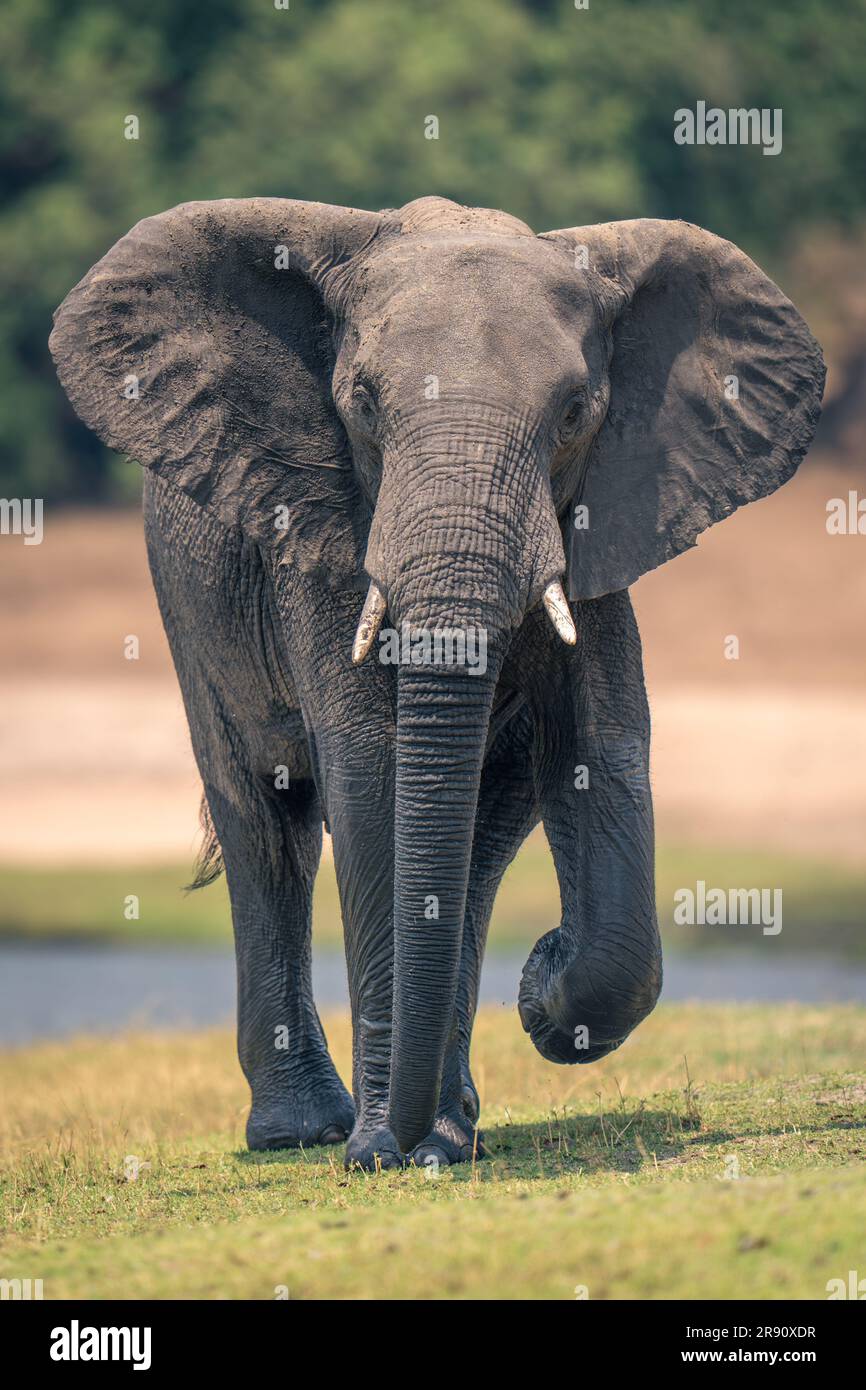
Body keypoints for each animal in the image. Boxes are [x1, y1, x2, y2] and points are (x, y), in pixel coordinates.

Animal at [50, 195, 824, 1170]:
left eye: (576, 412)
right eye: (362, 404)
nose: (389, 1144)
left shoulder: (598, 524)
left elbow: (600, 752)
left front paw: (539, 996)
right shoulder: (321, 532)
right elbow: (373, 772)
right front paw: (381, 1148)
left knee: (478, 844)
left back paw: (450, 1124)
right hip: (188, 606)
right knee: (265, 824)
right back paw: (307, 1132)